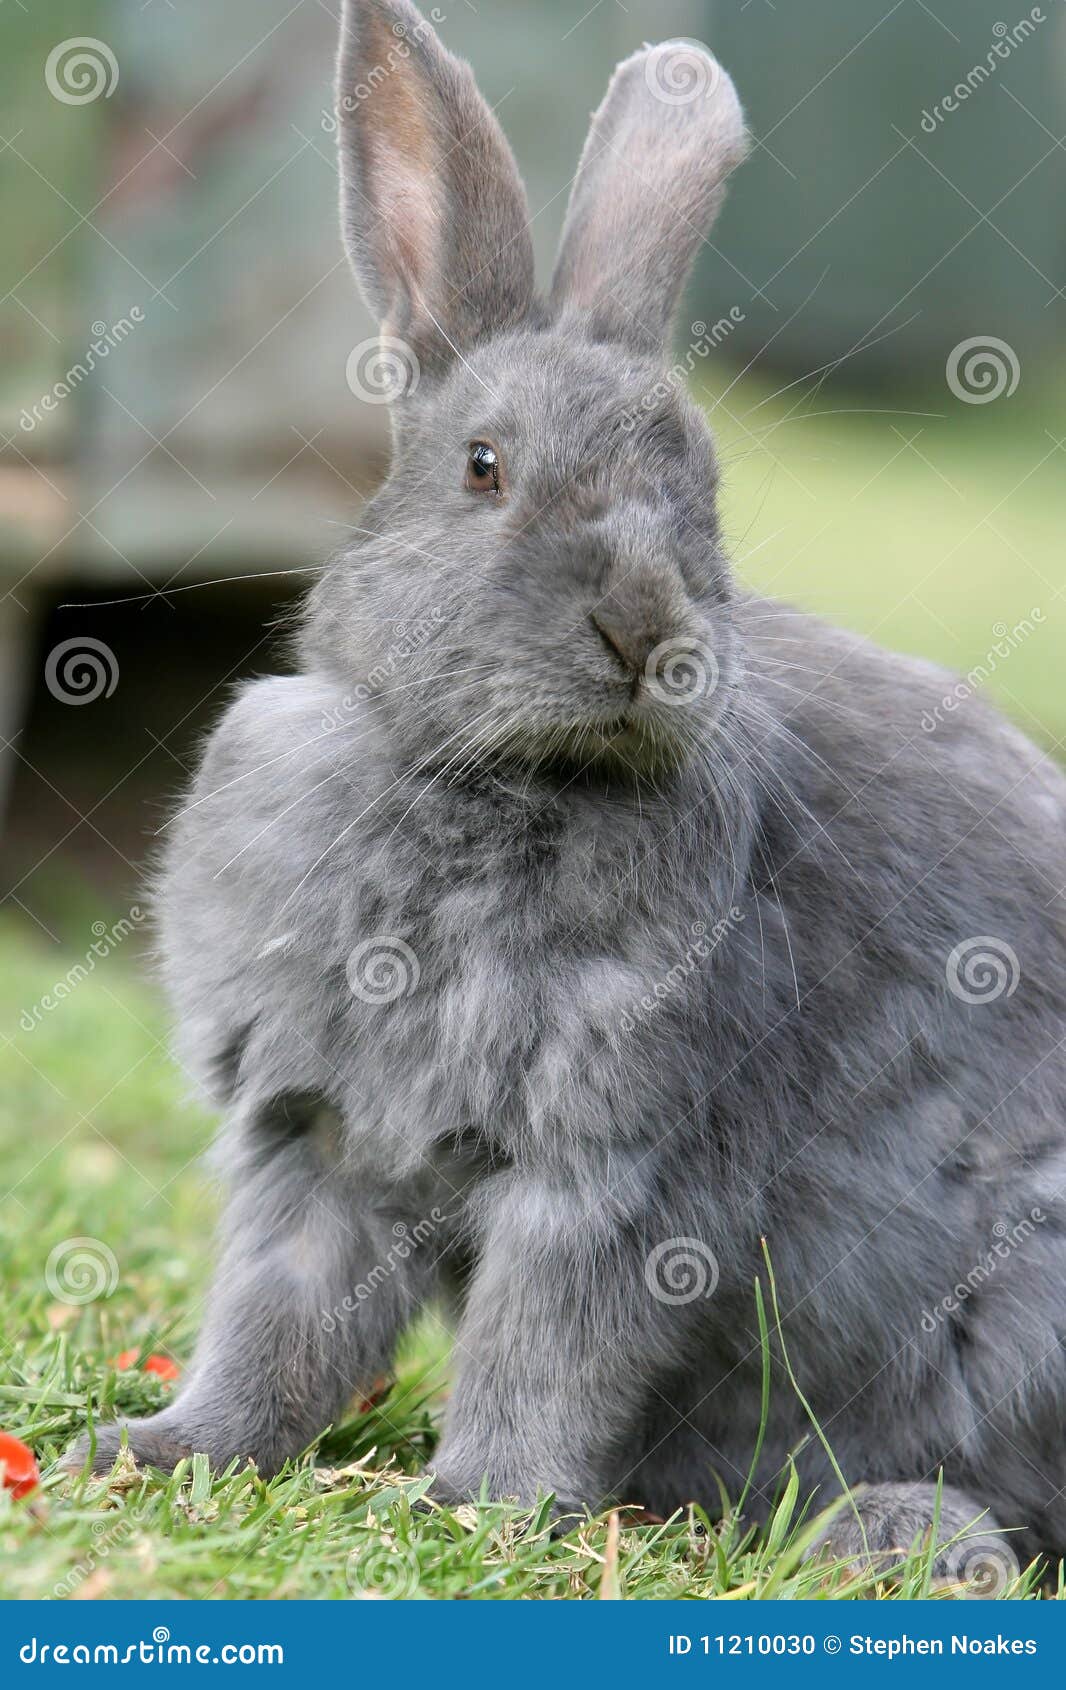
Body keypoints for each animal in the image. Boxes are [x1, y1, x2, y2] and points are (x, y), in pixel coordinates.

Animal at [69, 0, 1066, 1581]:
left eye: (702, 496)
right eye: (484, 467)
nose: (645, 633)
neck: (487, 779)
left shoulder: (617, 1176)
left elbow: (544, 1357)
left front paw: (472, 1511)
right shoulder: (320, 1136)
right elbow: (277, 1323)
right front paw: (166, 1450)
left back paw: (899, 1533)